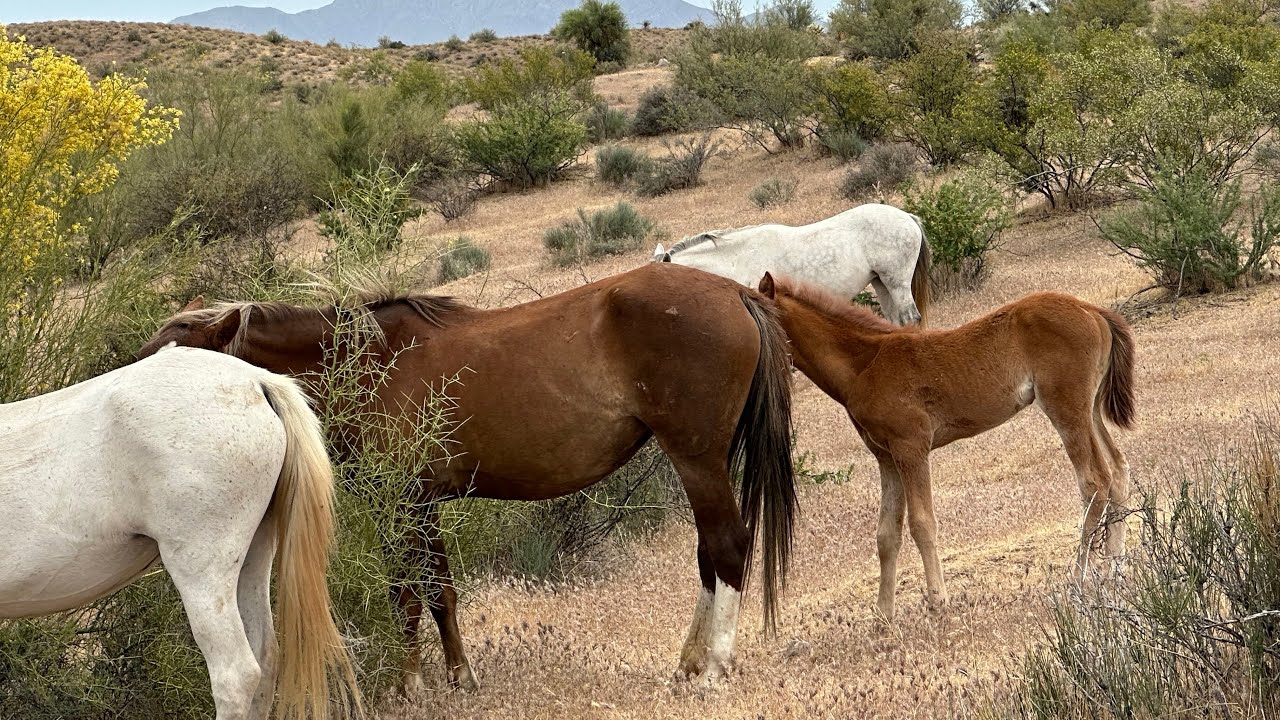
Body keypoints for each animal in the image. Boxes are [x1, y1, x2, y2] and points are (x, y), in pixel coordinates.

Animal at [135, 262, 798, 692]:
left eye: (173, 358)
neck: (364, 362)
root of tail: (736, 292)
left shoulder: (400, 503)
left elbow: (407, 592)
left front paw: (411, 684)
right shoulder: (423, 504)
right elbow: (441, 591)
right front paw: (460, 676)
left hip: (698, 459)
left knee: (727, 547)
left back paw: (713, 670)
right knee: (710, 555)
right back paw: (688, 663)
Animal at [757, 273, 1135, 620]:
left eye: (763, 321)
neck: (865, 364)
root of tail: (1092, 309)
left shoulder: (910, 447)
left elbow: (921, 523)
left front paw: (937, 601)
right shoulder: (886, 457)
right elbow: (886, 534)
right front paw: (883, 614)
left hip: (1066, 408)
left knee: (1094, 482)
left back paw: (1079, 577)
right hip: (1090, 409)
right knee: (1118, 469)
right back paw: (1113, 567)